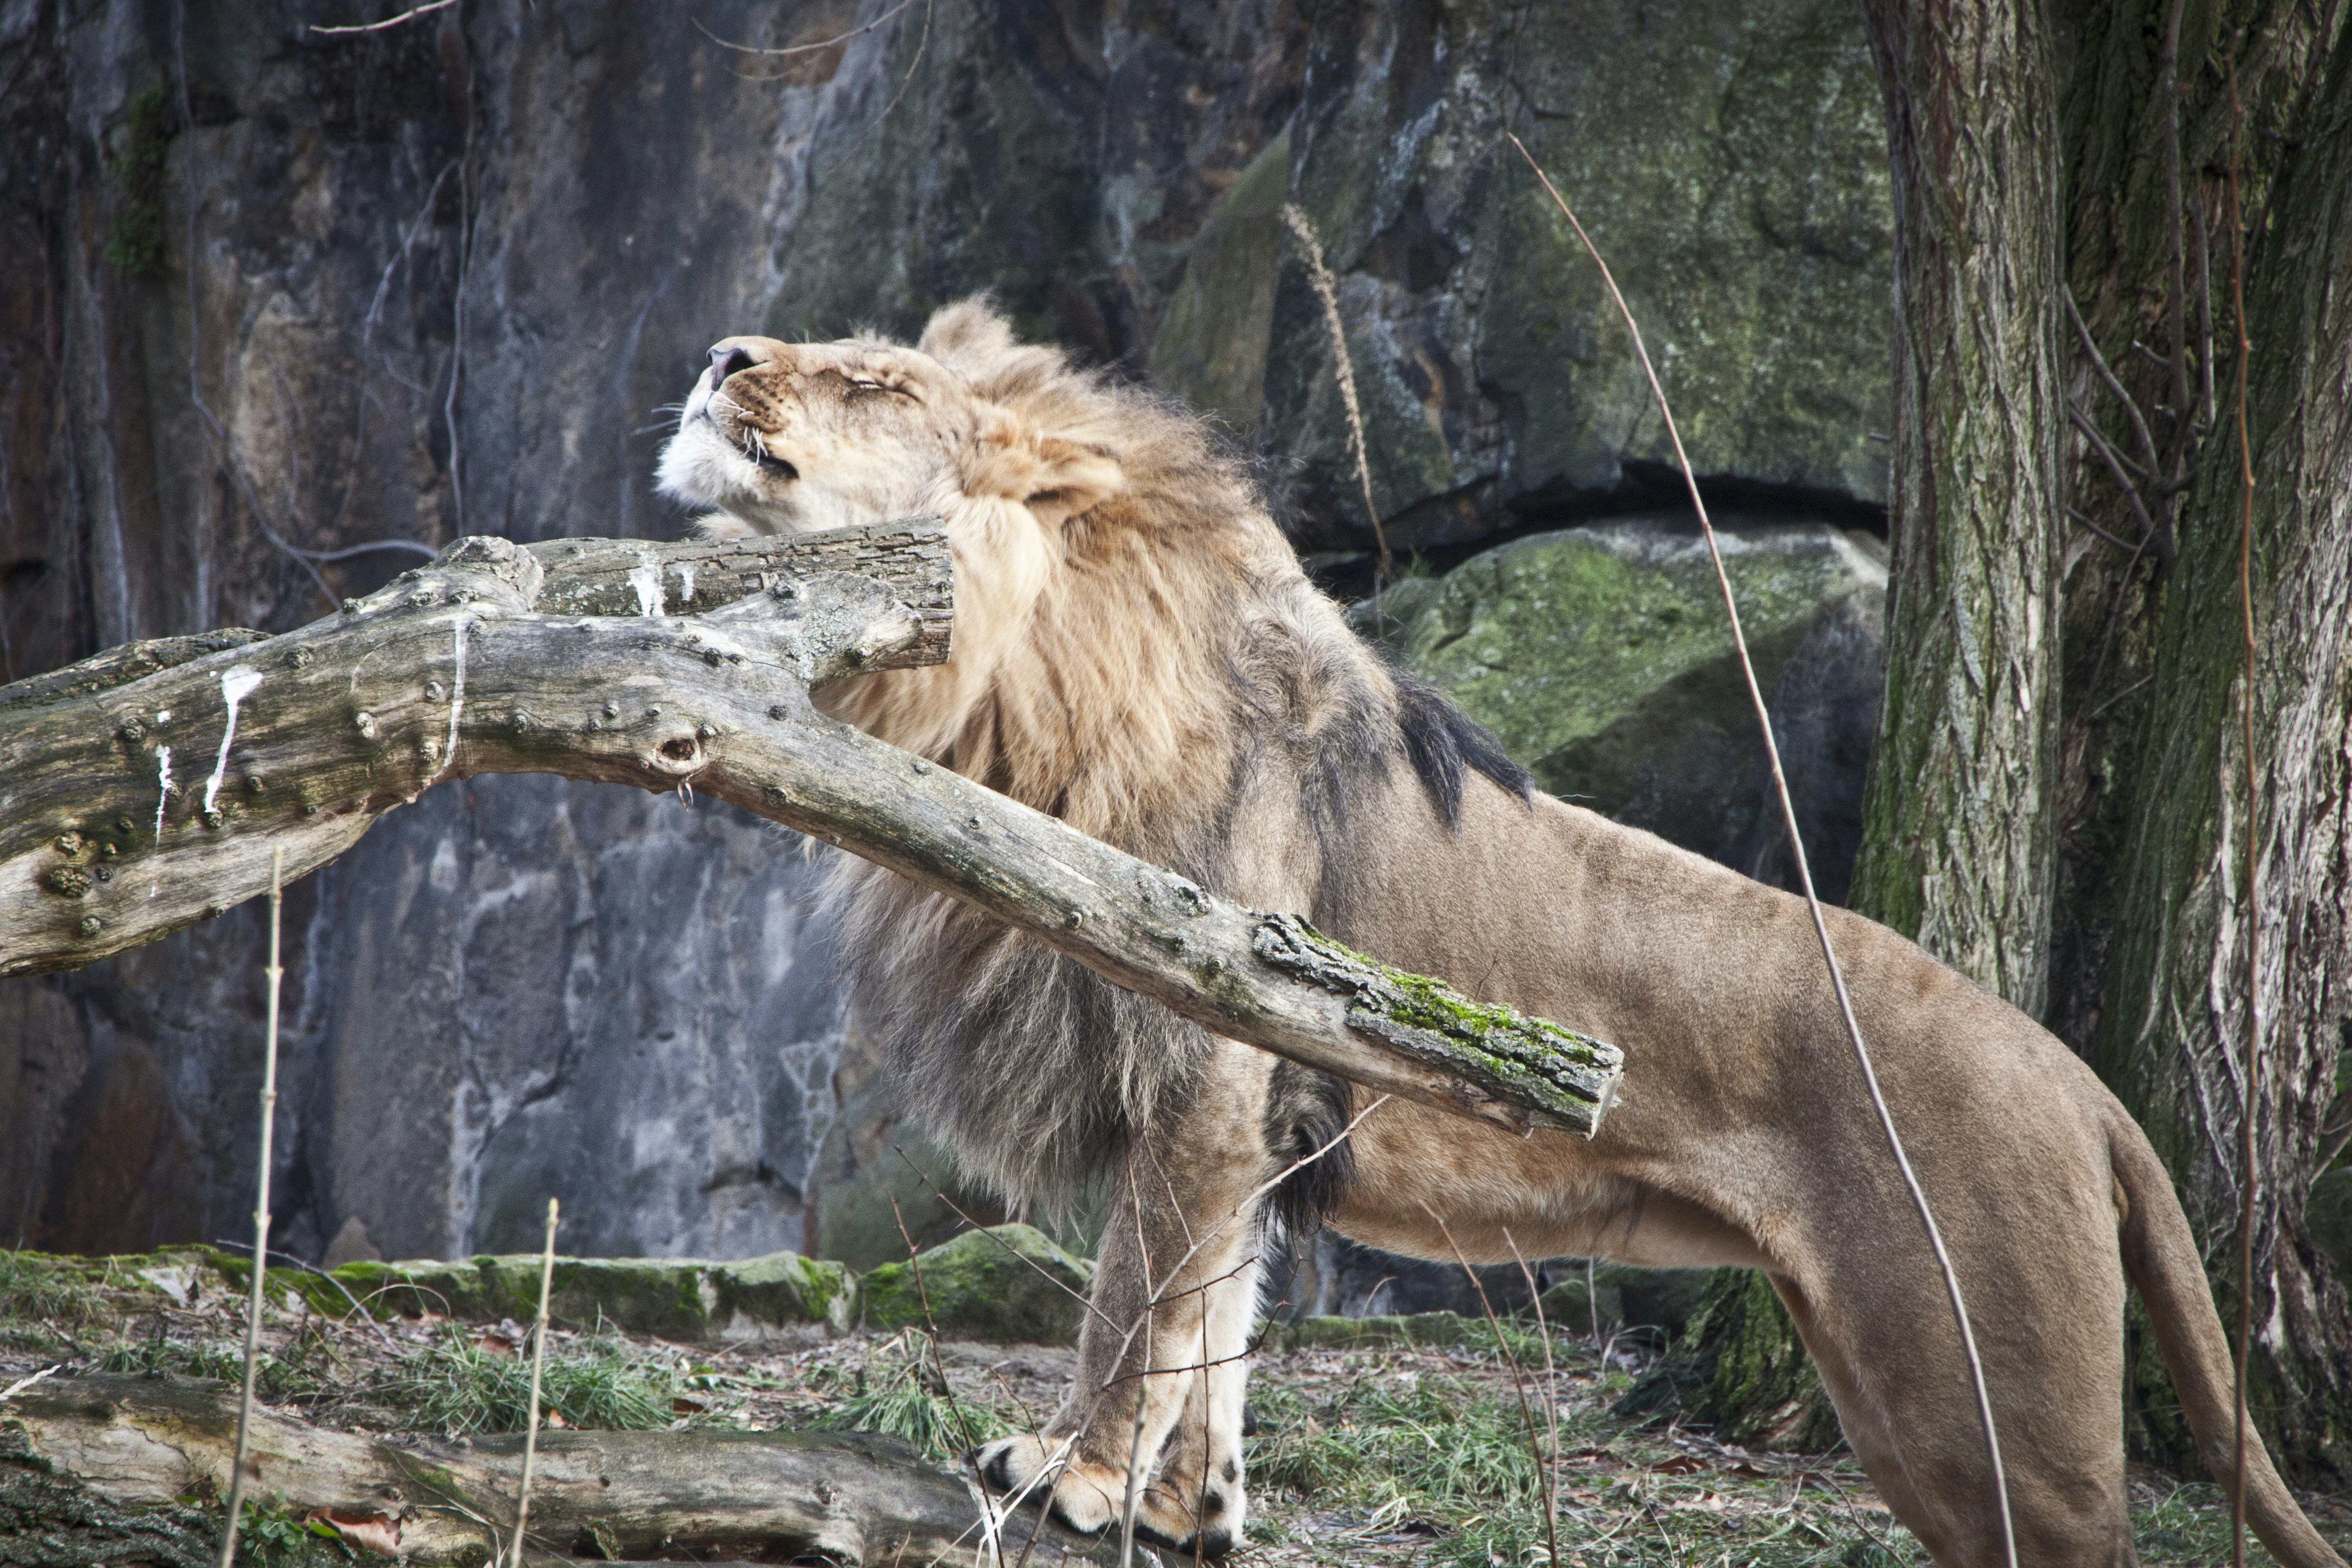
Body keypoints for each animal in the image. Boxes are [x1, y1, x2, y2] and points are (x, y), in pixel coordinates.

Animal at [656, 300, 2343, 1568]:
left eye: (874, 381)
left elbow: (1136, 1304)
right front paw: (1193, 1507)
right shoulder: (1255, 1108)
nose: (719, 350)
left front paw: (1066, 1474)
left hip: (1990, 1409)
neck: (1021, 693)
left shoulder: (1202, 1055)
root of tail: (2085, 1087)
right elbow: (1220, 1318)